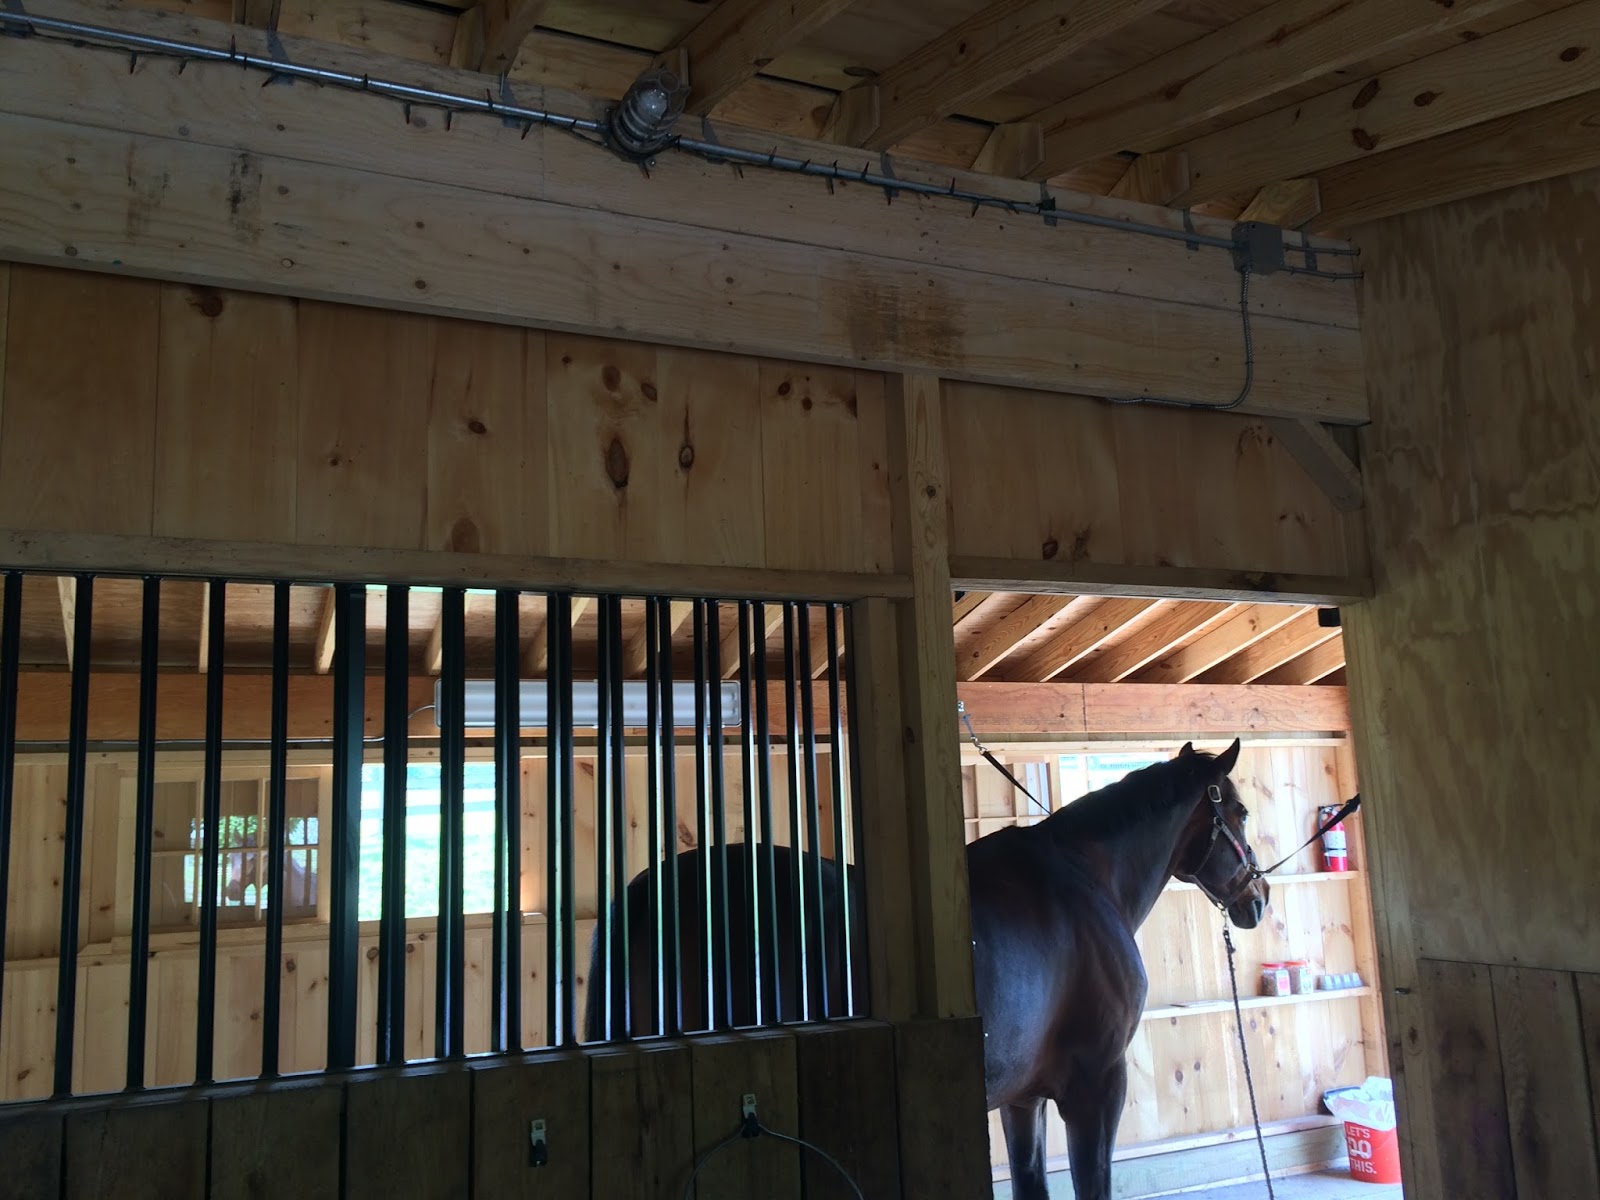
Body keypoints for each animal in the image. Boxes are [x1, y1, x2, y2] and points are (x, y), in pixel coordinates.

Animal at [585, 738, 1268, 1200]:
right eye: (1239, 812)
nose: (1257, 896)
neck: (1085, 878)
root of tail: (641, 897)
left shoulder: (1023, 1100)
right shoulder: (1096, 1089)